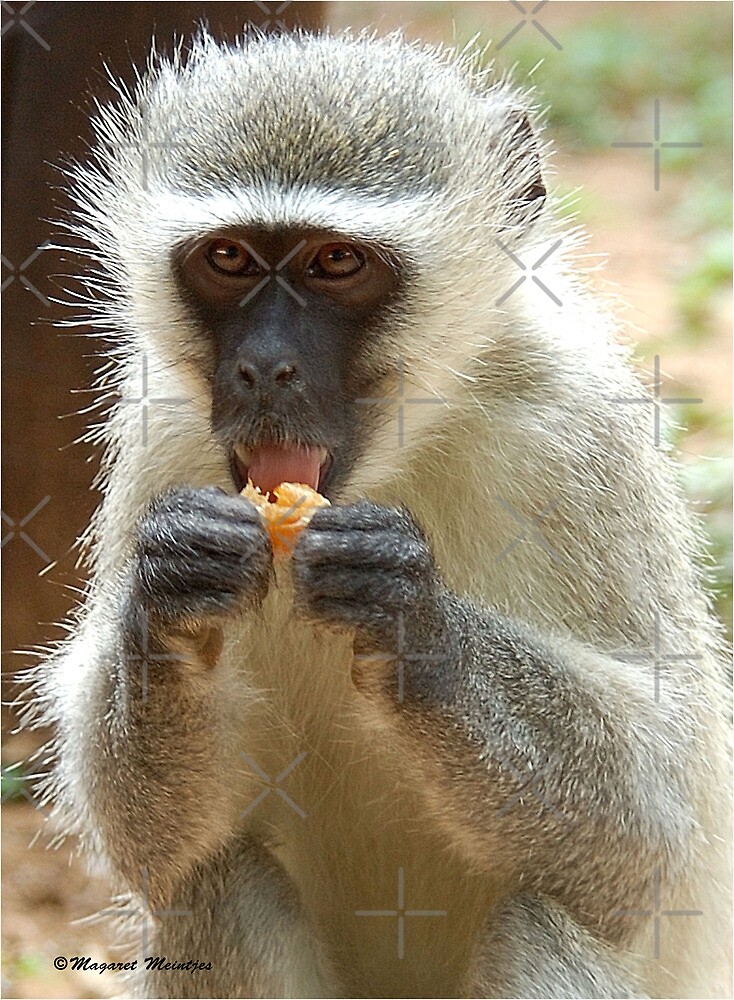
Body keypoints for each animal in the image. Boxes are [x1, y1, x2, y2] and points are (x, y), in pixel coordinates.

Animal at [25, 29, 731, 1000]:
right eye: (229, 259)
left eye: (336, 263)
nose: (264, 368)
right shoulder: (159, 430)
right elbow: (145, 845)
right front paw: (171, 586)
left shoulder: (578, 432)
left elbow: (657, 831)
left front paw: (410, 614)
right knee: (212, 880)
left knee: (543, 918)